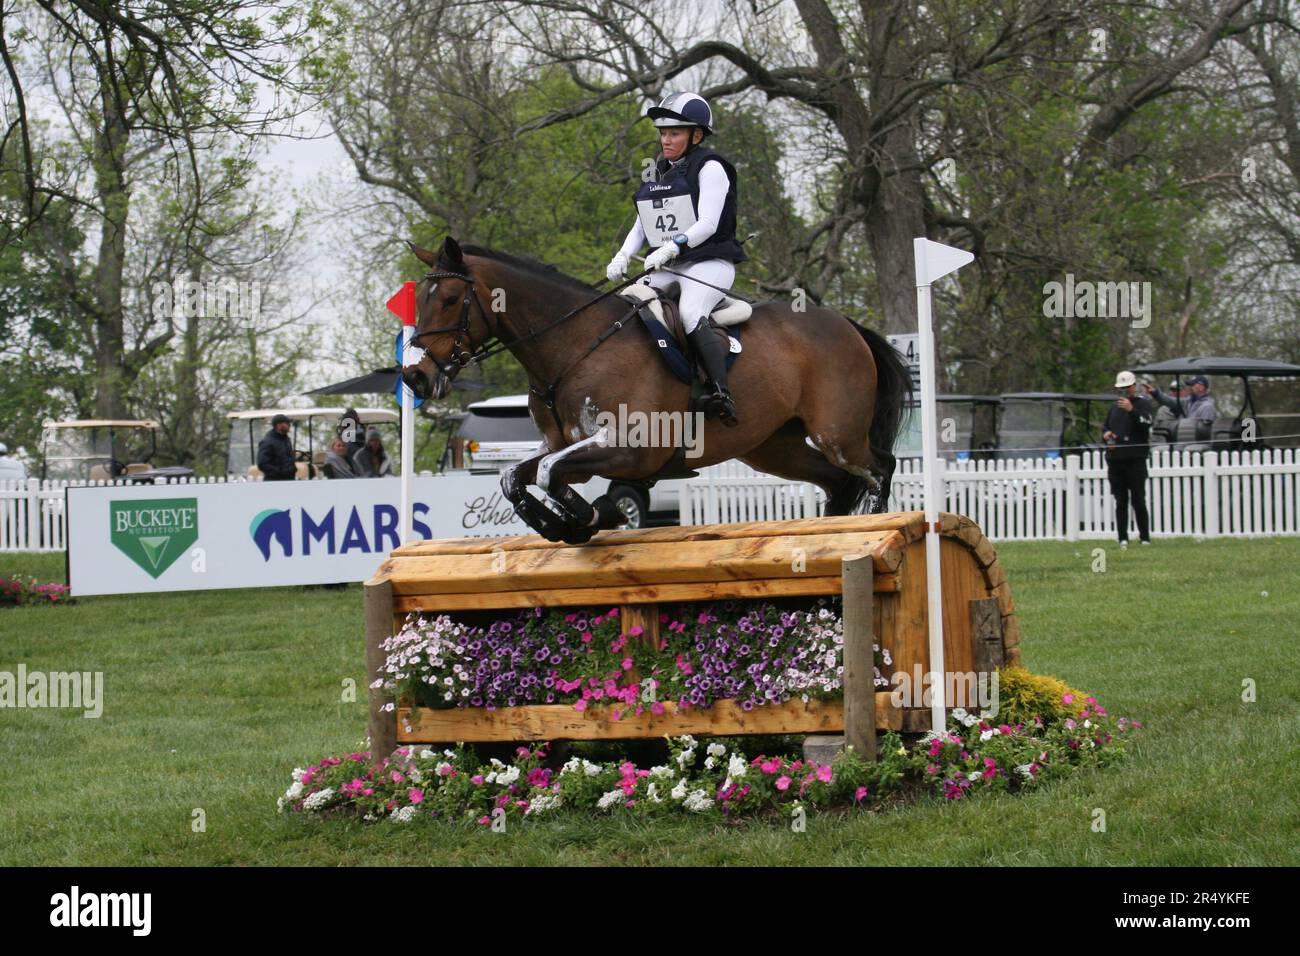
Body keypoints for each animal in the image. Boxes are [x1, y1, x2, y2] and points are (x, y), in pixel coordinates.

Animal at [402, 237, 911, 544]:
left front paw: (595, 517)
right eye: (420, 302)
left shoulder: (629, 450)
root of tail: (846, 324)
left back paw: (879, 524)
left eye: (451, 300)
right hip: (773, 447)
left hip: (837, 434)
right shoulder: (568, 447)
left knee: (879, 467)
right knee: (838, 482)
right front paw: (566, 524)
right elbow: (515, 477)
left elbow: (548, 473)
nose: (414, 377)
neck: (573, 347)